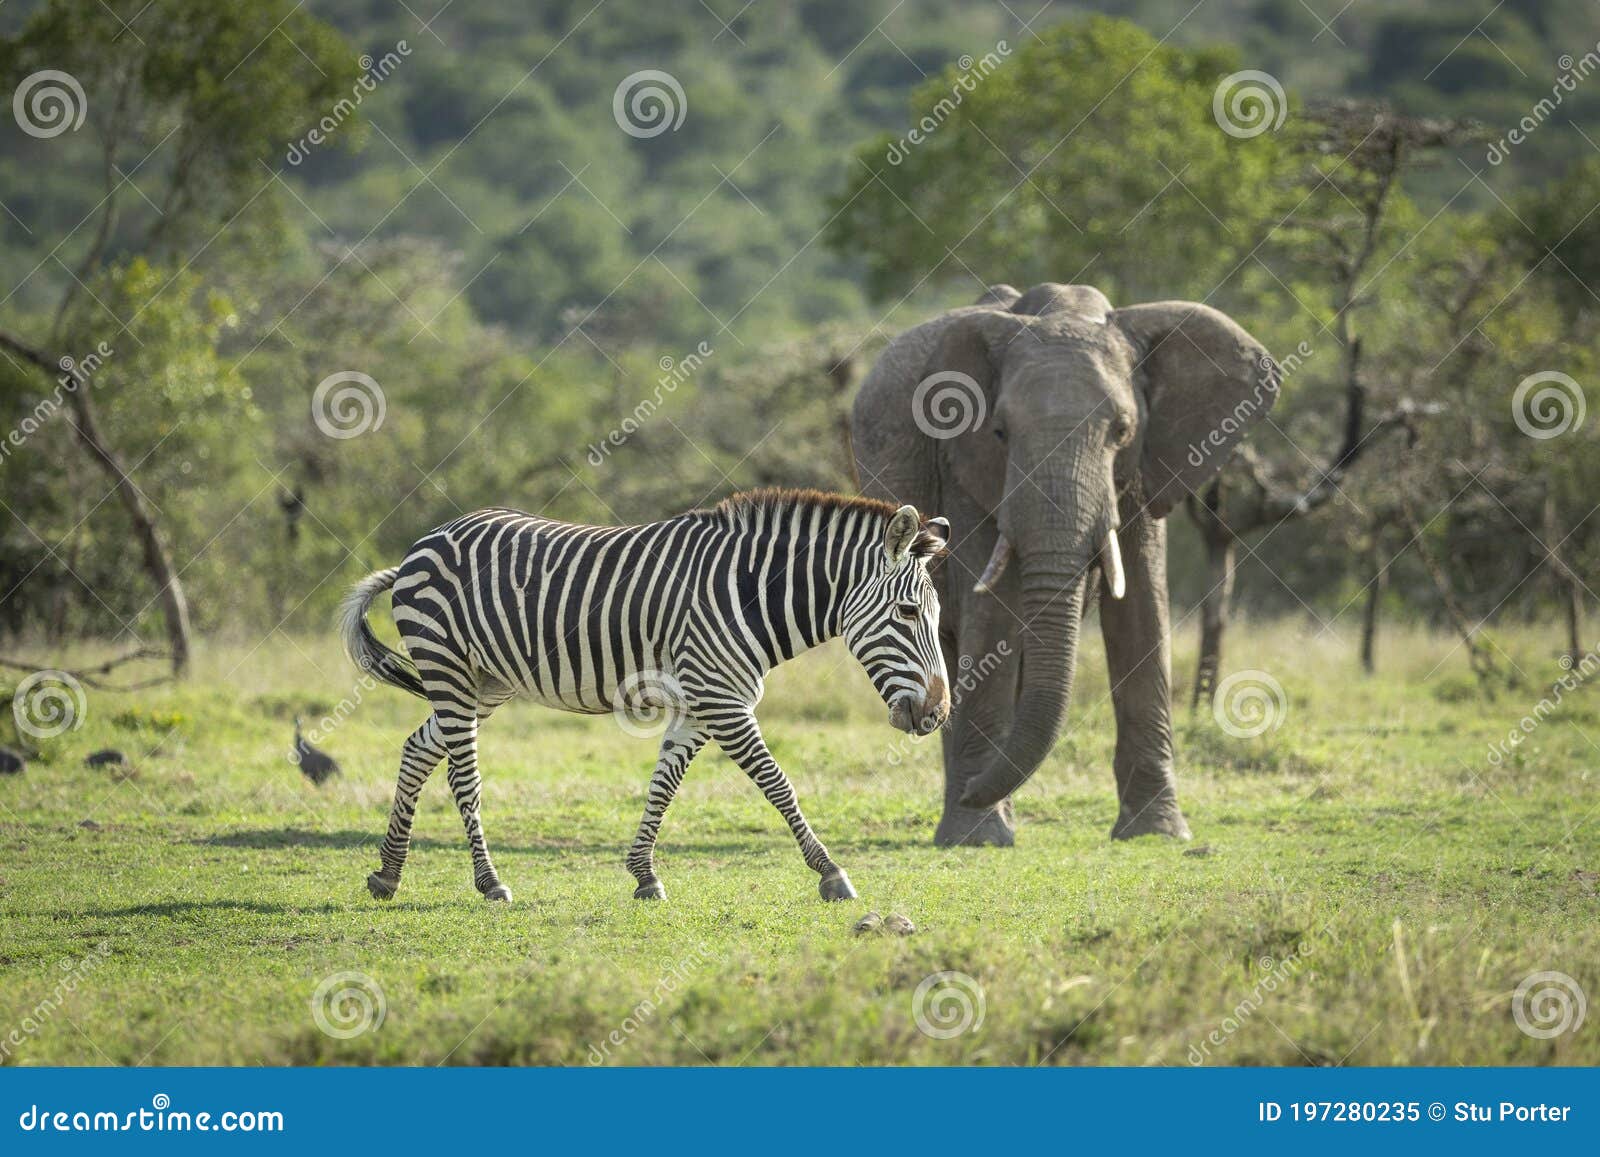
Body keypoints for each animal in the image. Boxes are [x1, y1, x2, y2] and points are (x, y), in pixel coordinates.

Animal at [340, 488, 952, 904]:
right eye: (908, 613)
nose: (938, 714)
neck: (750, 597)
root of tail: (424, 542)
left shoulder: (698, 707)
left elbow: (664, 786)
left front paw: (644, 874)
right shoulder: (723, 702)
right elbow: (779, 784)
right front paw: (831, 872)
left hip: (482, 683)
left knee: (418, 748)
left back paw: (388, 873)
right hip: (447, 667)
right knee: (461, 774)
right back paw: (489, 882)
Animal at [850, 282, 1280, 846]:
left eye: (1122, 431)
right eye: (999, 432)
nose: (972, 793)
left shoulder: (1146, 467)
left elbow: (1141, 609)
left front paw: (1157, 832)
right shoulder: (962, 464)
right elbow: (993, 611)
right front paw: (979, 836)